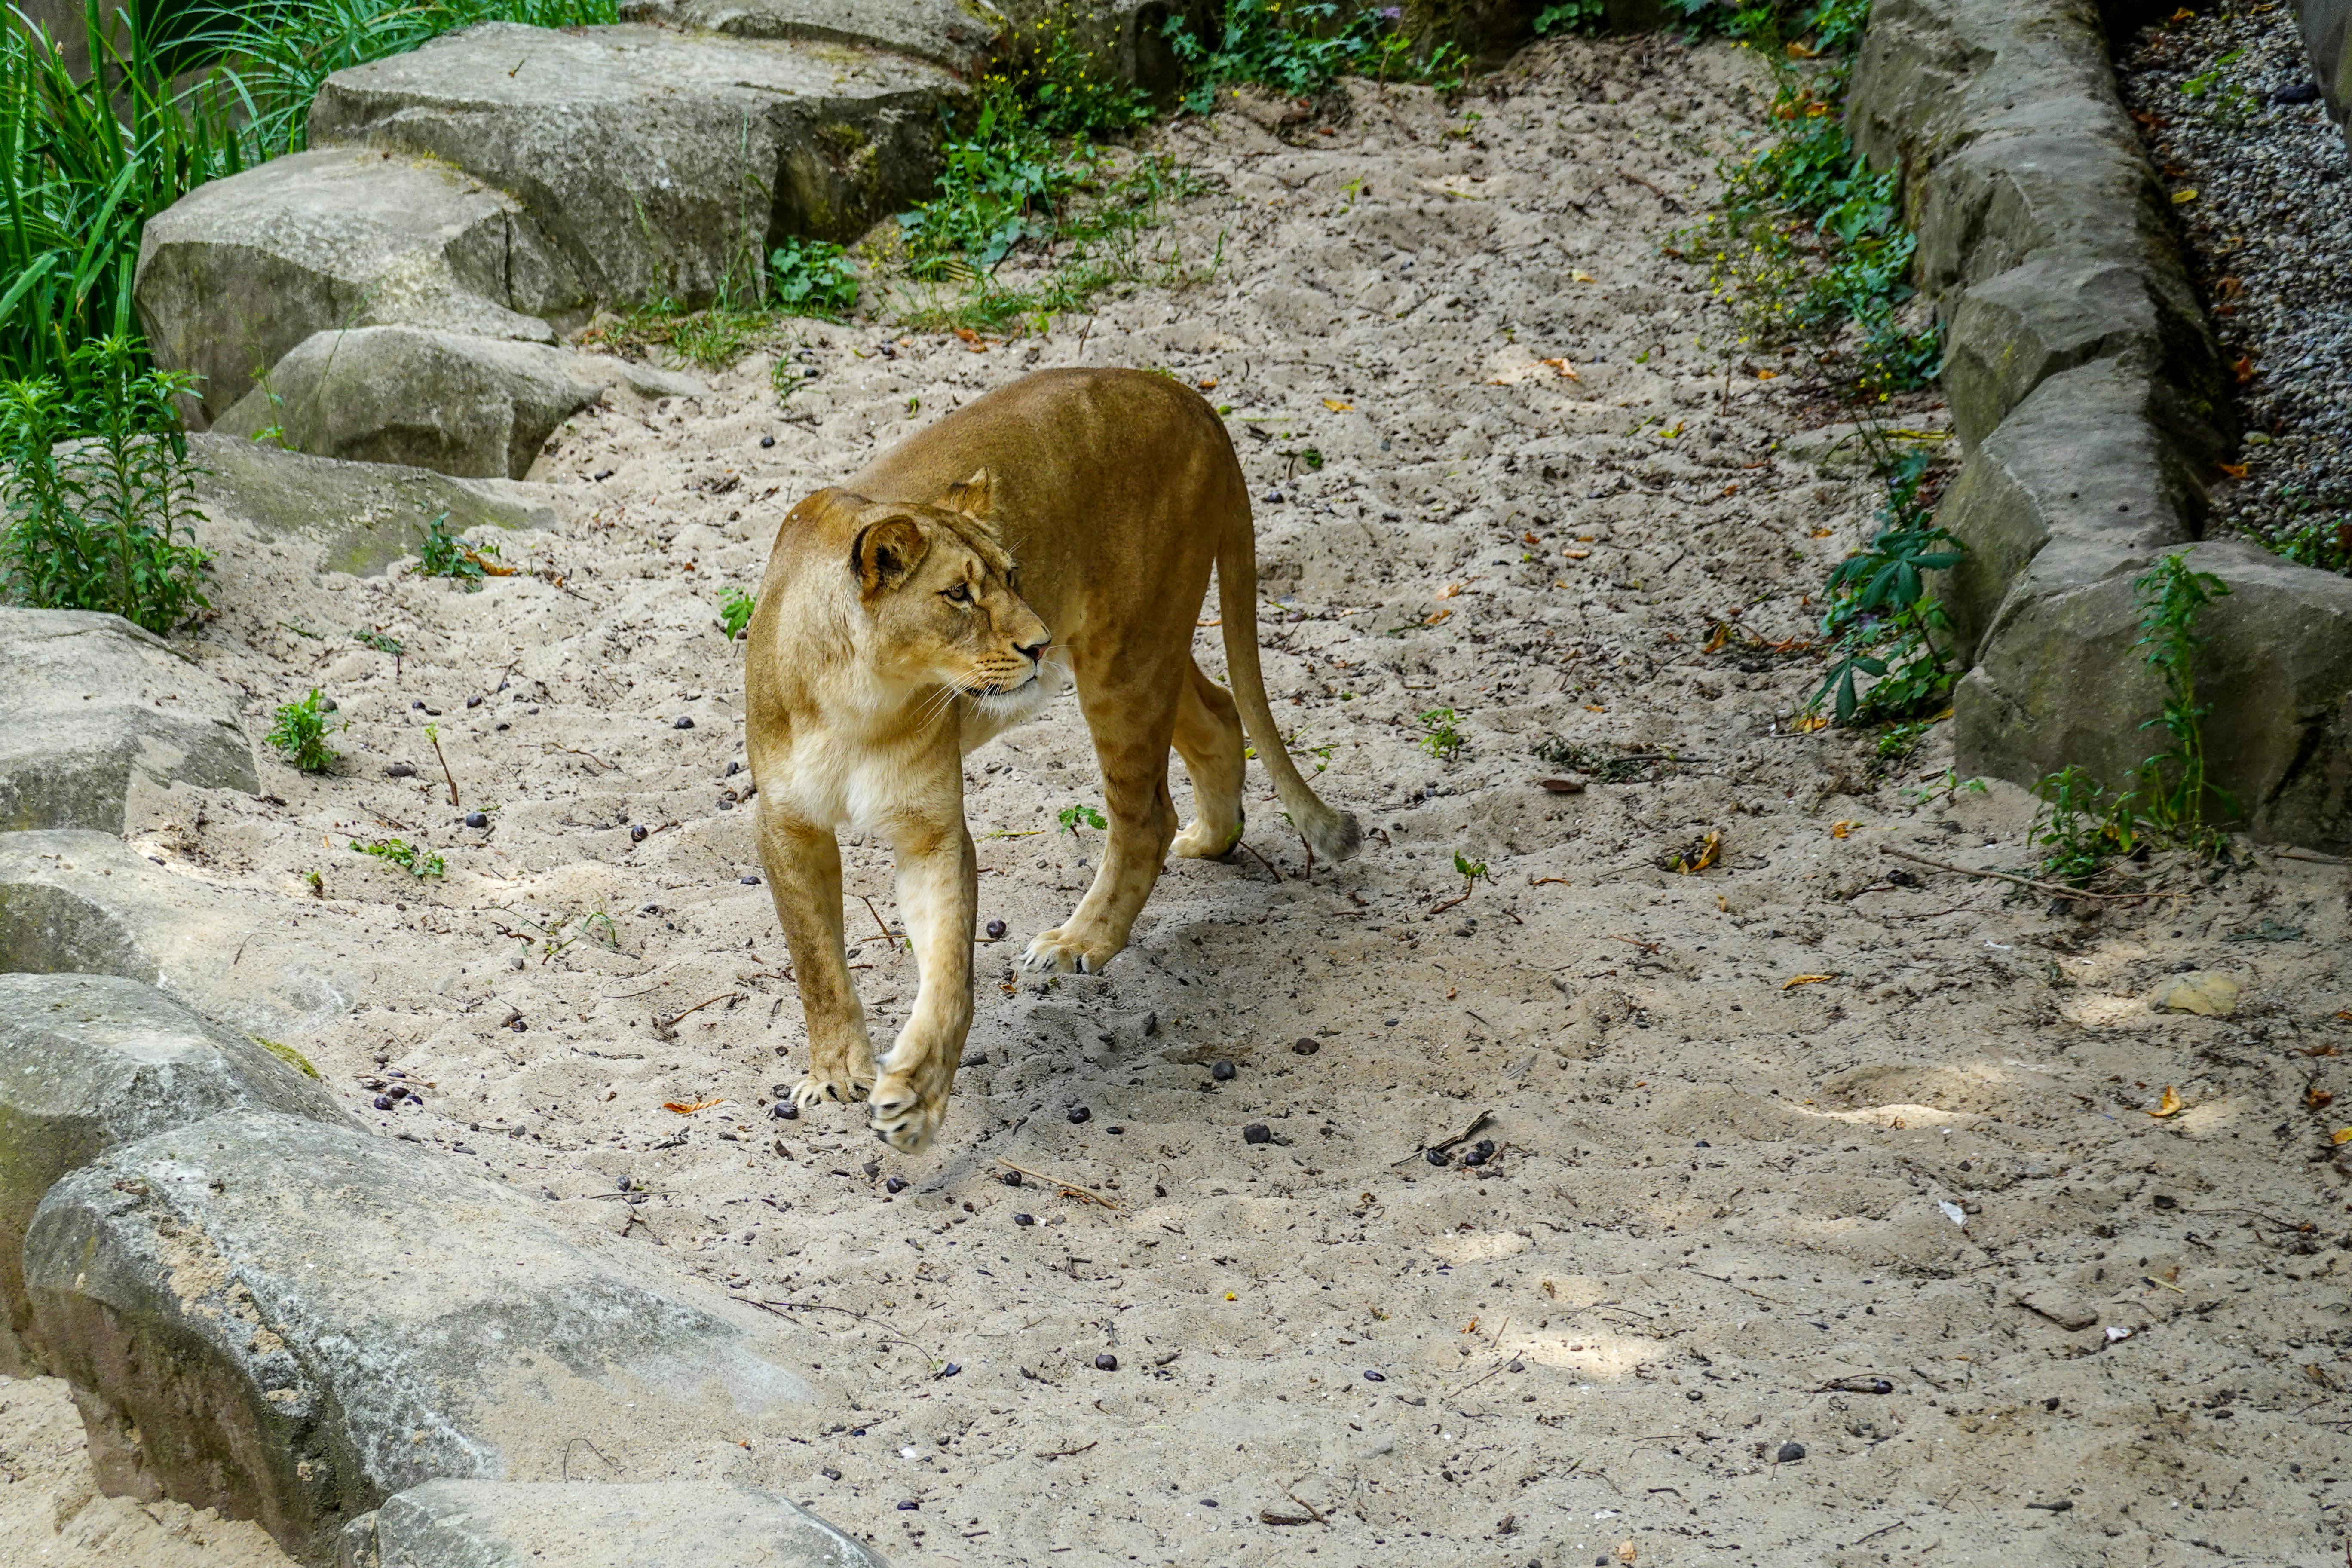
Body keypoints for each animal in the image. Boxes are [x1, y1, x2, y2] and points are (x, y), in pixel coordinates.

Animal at [742, 367, 1360, 1152]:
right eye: (957, 593)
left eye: (1013, 574)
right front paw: (833, 1075)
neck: (864, 697)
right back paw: (1212, 840)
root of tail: (1186, 396)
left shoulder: (931, 830)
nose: (1036, 643)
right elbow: (815, 959)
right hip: (1140, 651)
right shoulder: (786, 826)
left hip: (1123, 660)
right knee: (1220, 714)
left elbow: (948, 973)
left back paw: (1080, 940)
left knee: (1146, 815)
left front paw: (915, 1098)